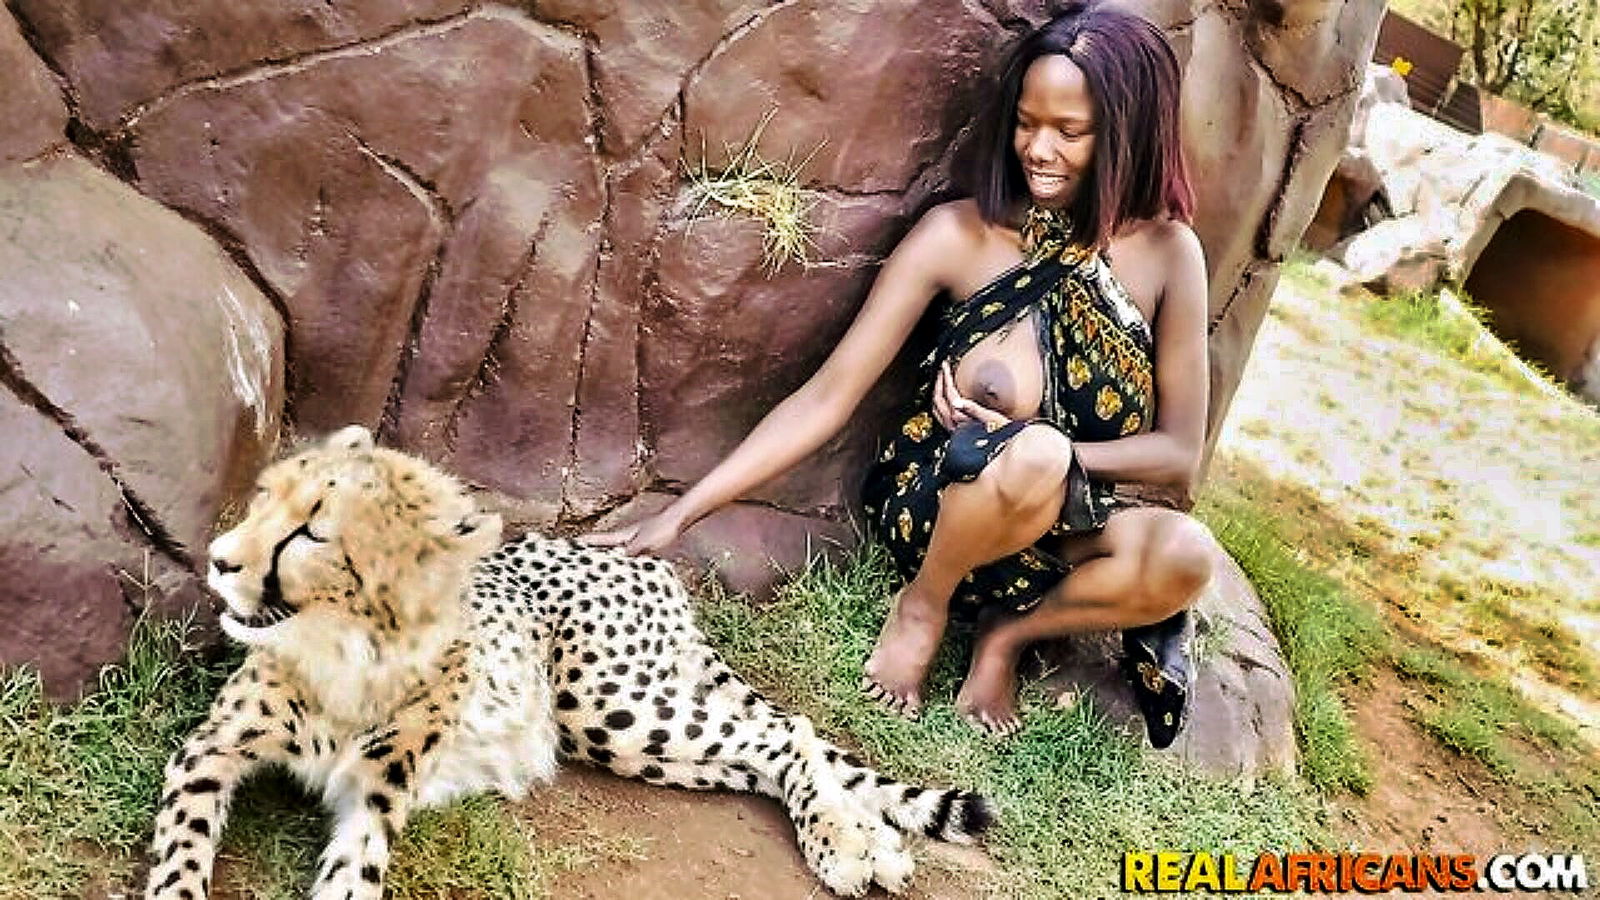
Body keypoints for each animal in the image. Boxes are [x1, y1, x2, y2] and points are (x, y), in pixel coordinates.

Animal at [144, 425, 991, 899]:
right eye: (262, 500)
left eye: (310, 533)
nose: (218, 560)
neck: (348, 649)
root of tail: (633, 556)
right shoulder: (209, 750)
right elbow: (183, 848)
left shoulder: (376, 794)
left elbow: (354, 874)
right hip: (631, 737)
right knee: (764, 749)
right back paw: (871, 840)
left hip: (610, 703)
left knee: (786, 732)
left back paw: (844, 846)